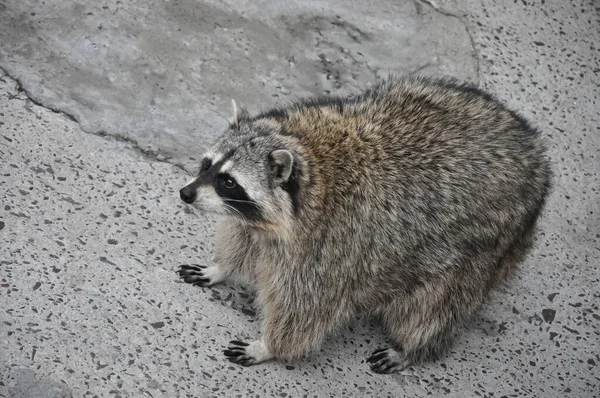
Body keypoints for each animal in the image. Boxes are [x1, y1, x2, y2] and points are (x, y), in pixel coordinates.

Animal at [177, 76, 548, 374]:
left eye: (228, 182)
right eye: (207, 164)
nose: (185, 193)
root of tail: (537, 158)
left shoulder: (332, 246)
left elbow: (305, 309)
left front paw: (268, 346)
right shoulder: (255, 223)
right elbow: (241, 241)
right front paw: (221, 268)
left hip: (484, 248)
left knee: (436, 308)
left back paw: (413, 348)